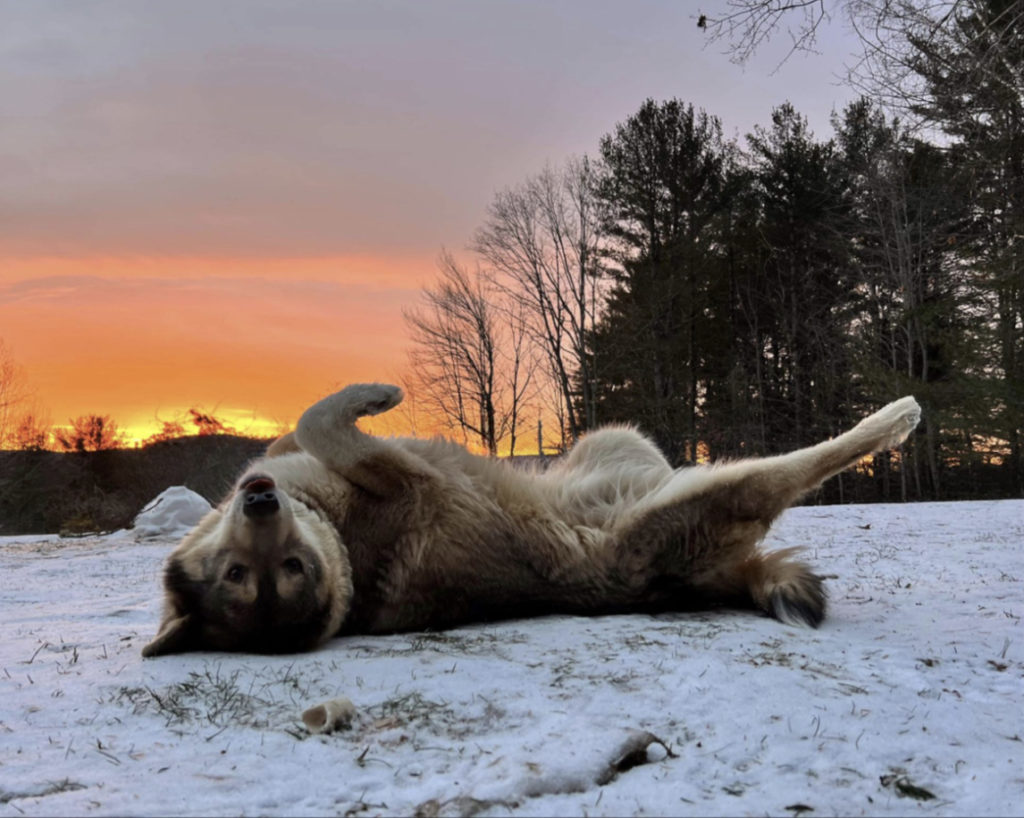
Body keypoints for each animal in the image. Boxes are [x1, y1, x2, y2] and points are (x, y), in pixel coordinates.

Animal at [142, 384, 921, 657]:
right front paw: (379, 394)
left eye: (277, 567)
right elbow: (318, 416)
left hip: (616, 441)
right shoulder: (407, 475)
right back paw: (896, 416)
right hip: (707, 489)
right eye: (243, 575)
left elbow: (297, 428)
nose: (260, 502)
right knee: (808, 462)